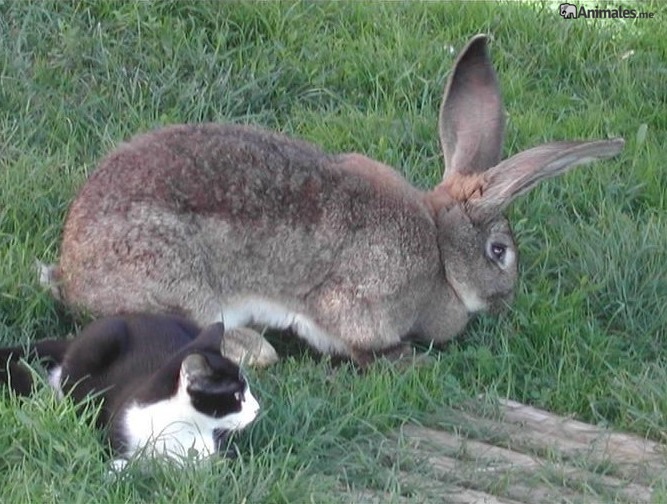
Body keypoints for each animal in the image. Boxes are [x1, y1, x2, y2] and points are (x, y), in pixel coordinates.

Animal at [40, 34, 624, 367]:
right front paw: (407, 359)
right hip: (175, 279)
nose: (506, 302)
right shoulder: (361, 302)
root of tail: (71, 271)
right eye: (499, 252)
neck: (439, 249)